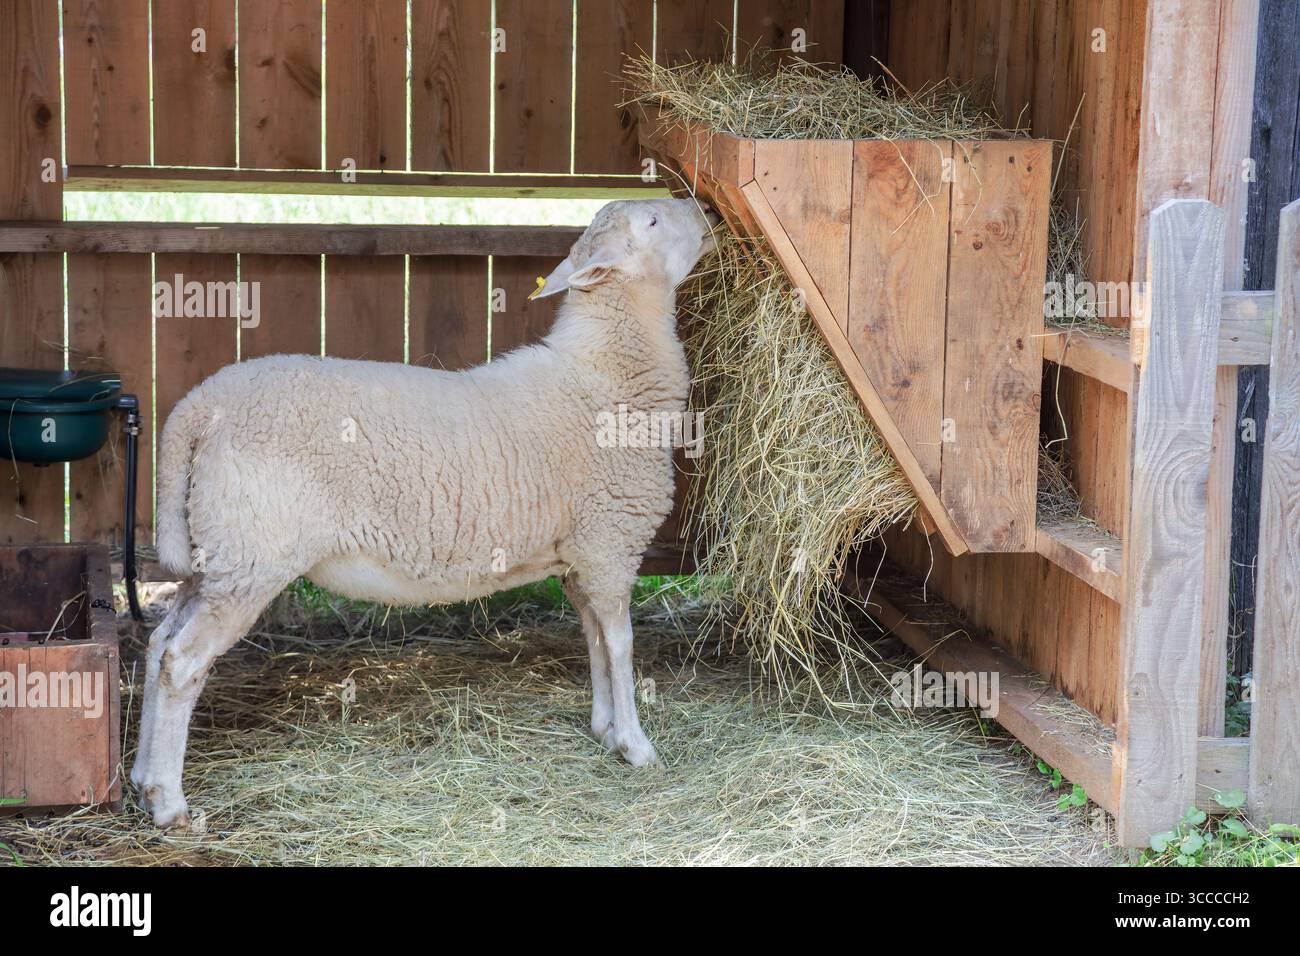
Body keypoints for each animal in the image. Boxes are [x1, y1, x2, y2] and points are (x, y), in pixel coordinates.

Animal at [131, 198, 719, 828]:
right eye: (653, 223)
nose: (706, 212)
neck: (607, 374)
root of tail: (199, 407)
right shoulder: (611, 542)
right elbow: (622, 644)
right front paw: (636, 745)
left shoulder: (582, 555)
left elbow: (595, 643)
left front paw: (606, 729)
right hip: (251, 555)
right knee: (182, 661)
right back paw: (168, 802)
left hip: (215, 554)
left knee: (158, 644)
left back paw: (140, 778)